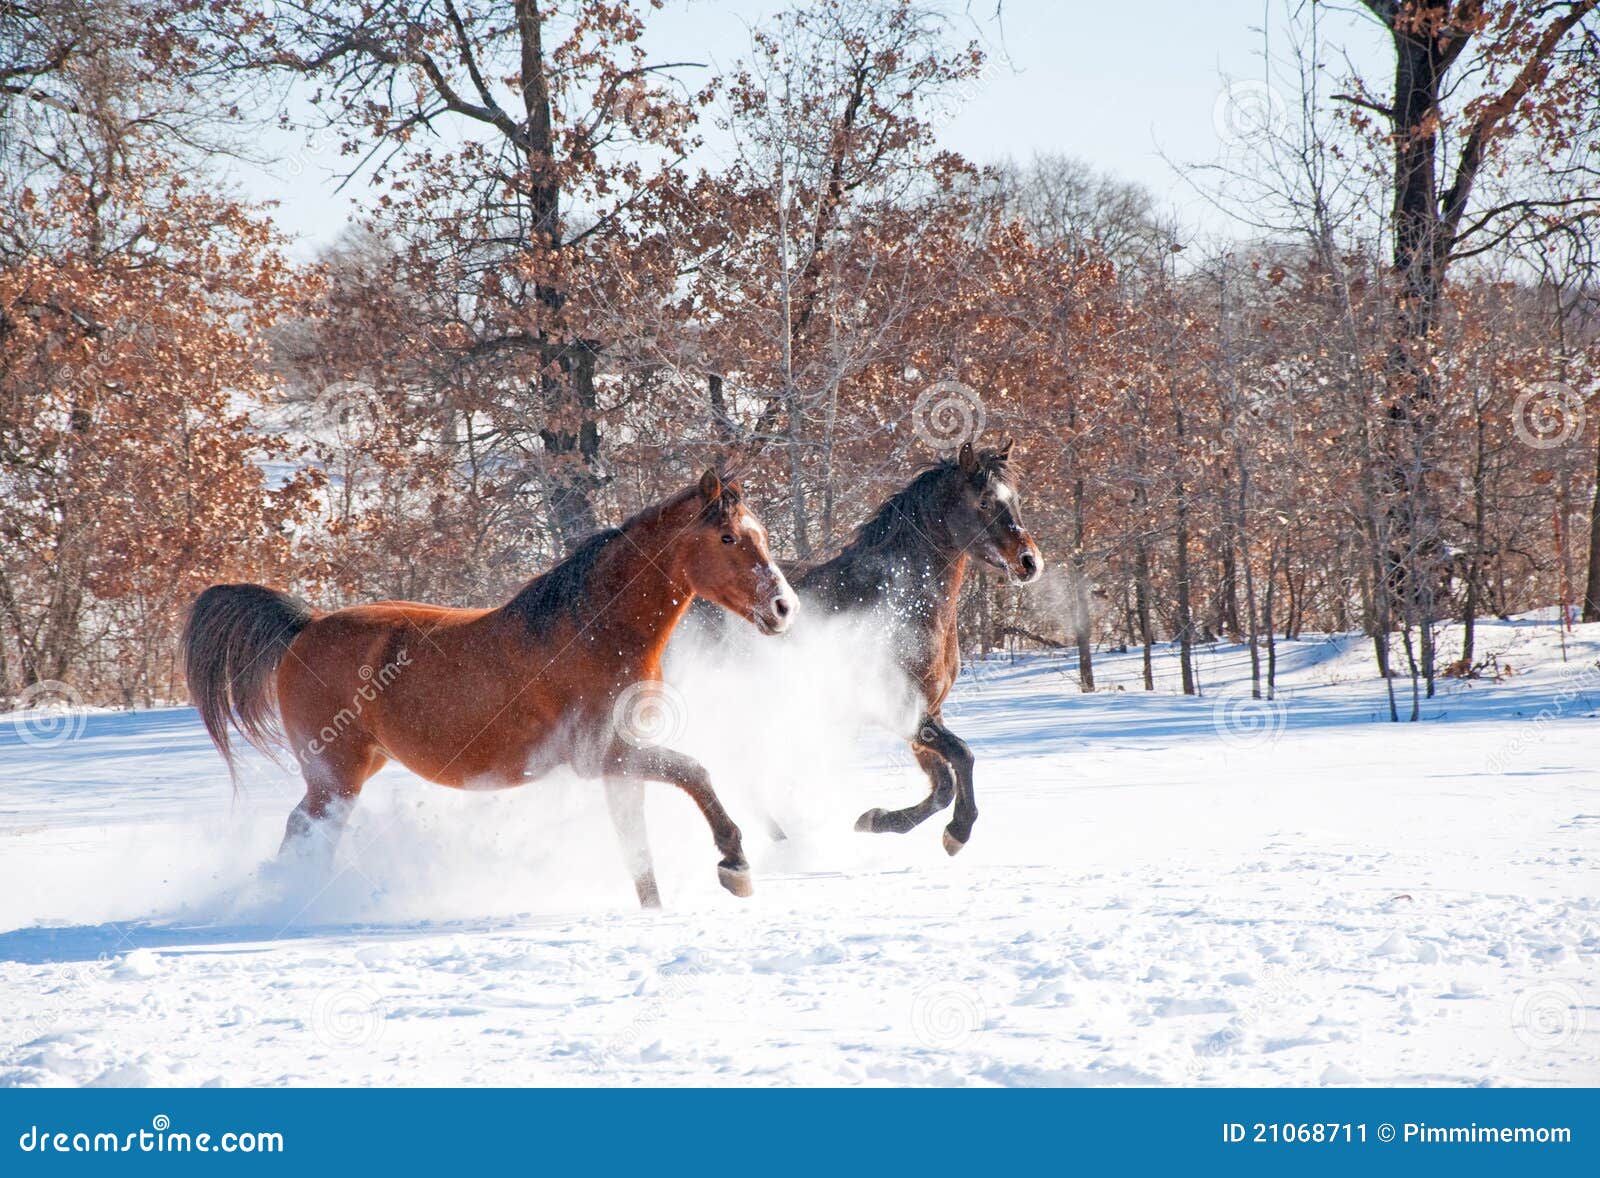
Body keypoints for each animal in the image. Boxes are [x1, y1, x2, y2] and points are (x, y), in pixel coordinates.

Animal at [181, 470, 798, 906]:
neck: (593, 628)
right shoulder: (599, 756)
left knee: (306, 831)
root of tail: (304, 625)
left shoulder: (619, 762)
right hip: (336, 774)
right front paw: (736, 864)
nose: (783, 607)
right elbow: (696, 772)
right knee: (306, 831)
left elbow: (638, 848)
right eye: (728, 537)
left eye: (761, 536)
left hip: (353, 770)